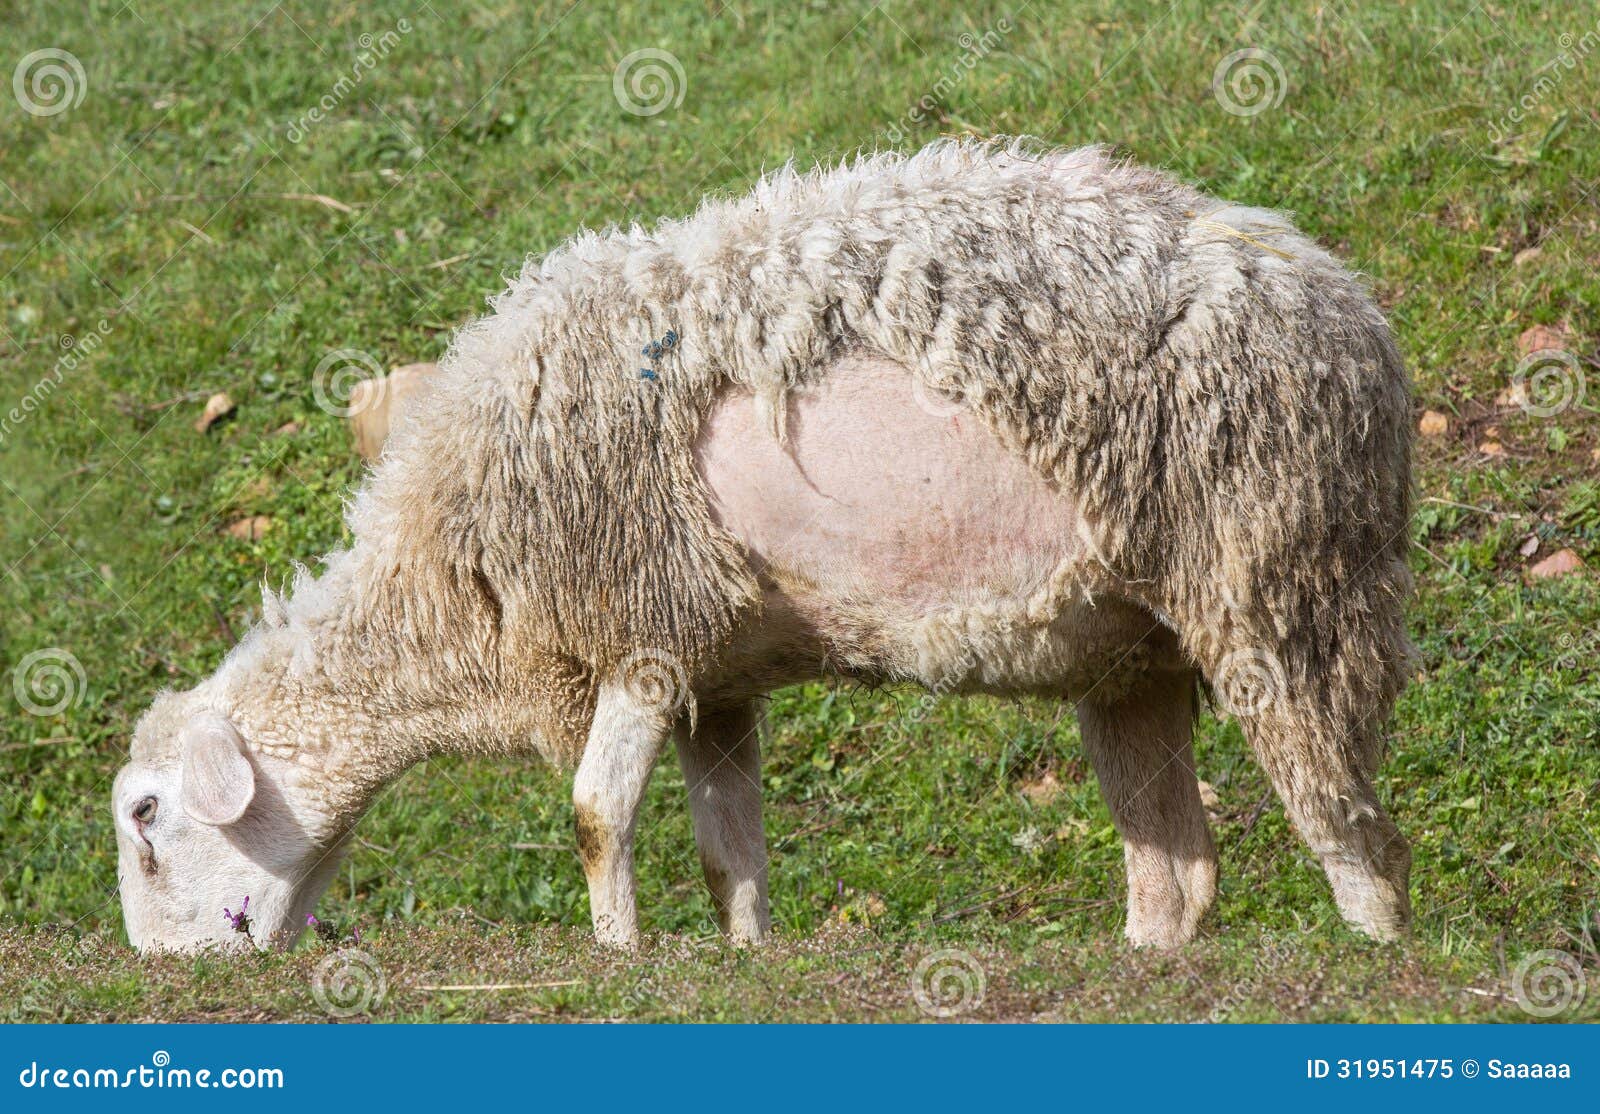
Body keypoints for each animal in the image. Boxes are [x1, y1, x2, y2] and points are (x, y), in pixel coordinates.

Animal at [113, 139, 1414, 953]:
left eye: (144, 817)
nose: (166, 973)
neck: (448, 584)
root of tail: (1348, 307)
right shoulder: (717, 669)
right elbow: (724, 850)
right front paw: (744, 956)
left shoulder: (640, 622)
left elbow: (593, 814)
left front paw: (617, 957)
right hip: (1131, 646)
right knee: (1177, 873)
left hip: (1270, 581)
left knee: (1347, 824)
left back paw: (1374, 952)